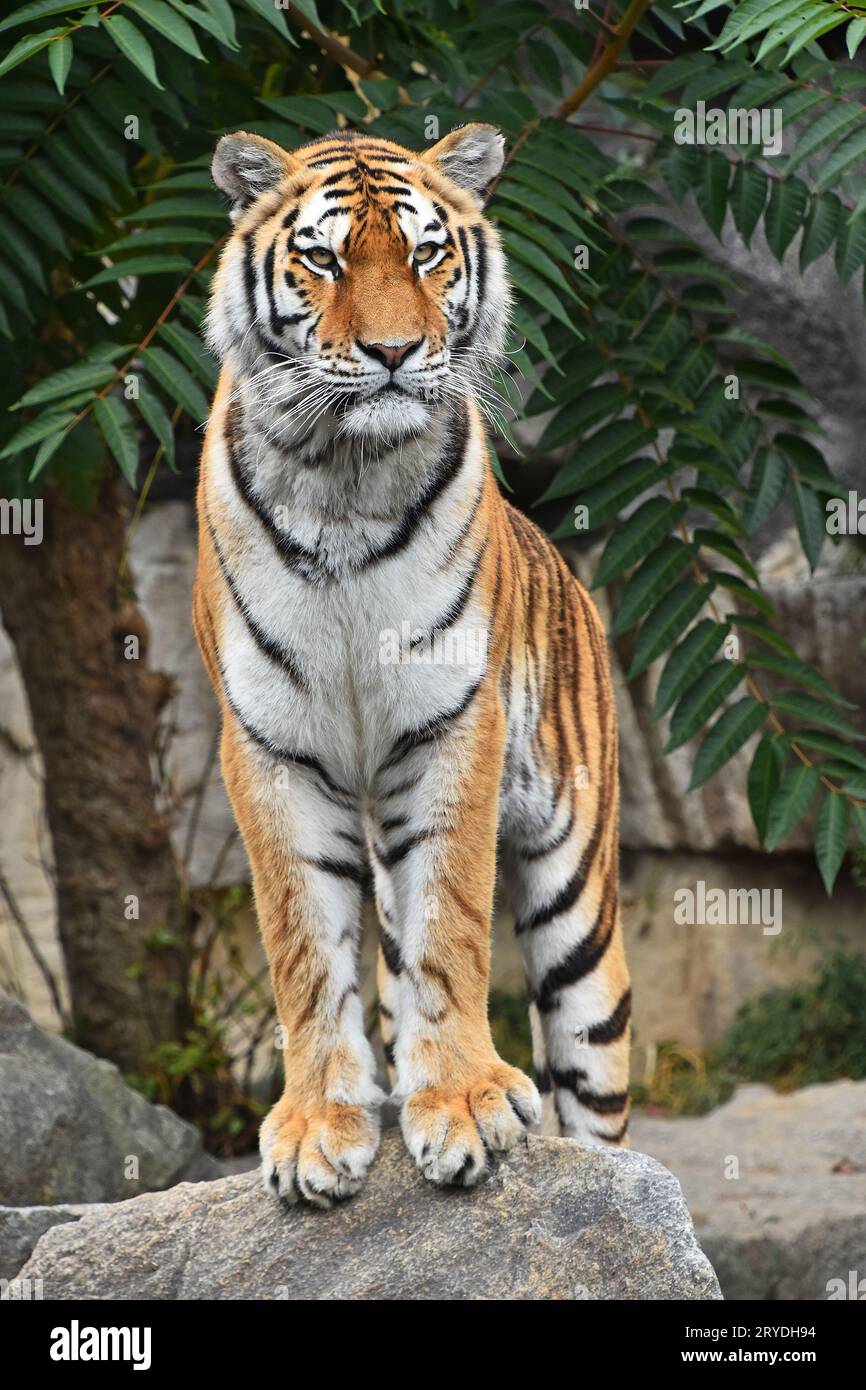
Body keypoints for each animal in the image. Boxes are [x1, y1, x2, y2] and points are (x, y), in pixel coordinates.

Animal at [193, 121, 631, 1208]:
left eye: (428, 254)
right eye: (323, 258)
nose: (393, 354)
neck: (343, 478)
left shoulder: (450, 724)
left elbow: (451, 922)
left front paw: (465, 1103)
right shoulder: (268, 744)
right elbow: (303, 942)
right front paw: (319, 1127)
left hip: (581, 912)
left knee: (599, 1096)